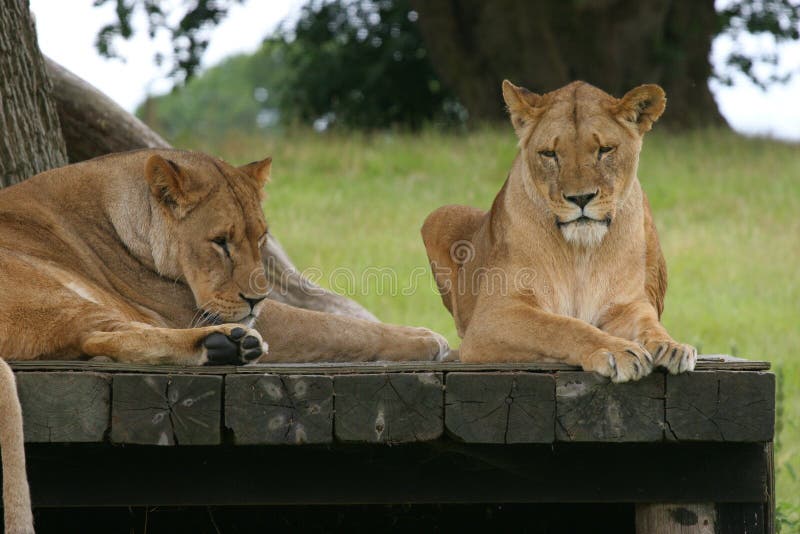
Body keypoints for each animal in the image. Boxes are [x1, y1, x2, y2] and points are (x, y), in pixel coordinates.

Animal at [0, 149, 449, 533]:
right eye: (220, 242)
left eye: (261, 238)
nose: (258, 298)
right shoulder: (201, 310)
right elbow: (336, 327)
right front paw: (428, 338)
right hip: (50, 288)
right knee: (102, 332)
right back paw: (228, 344)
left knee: (99, 339)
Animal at [422, 80, 696, 385]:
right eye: (549, 154)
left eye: (605, 149)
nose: (581, 198)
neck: (580, 250)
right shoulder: (491, 317)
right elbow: (561, 327)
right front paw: (616, 351)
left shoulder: (625, 305)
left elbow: (648, 322)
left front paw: (670, 346)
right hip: (439, 215)